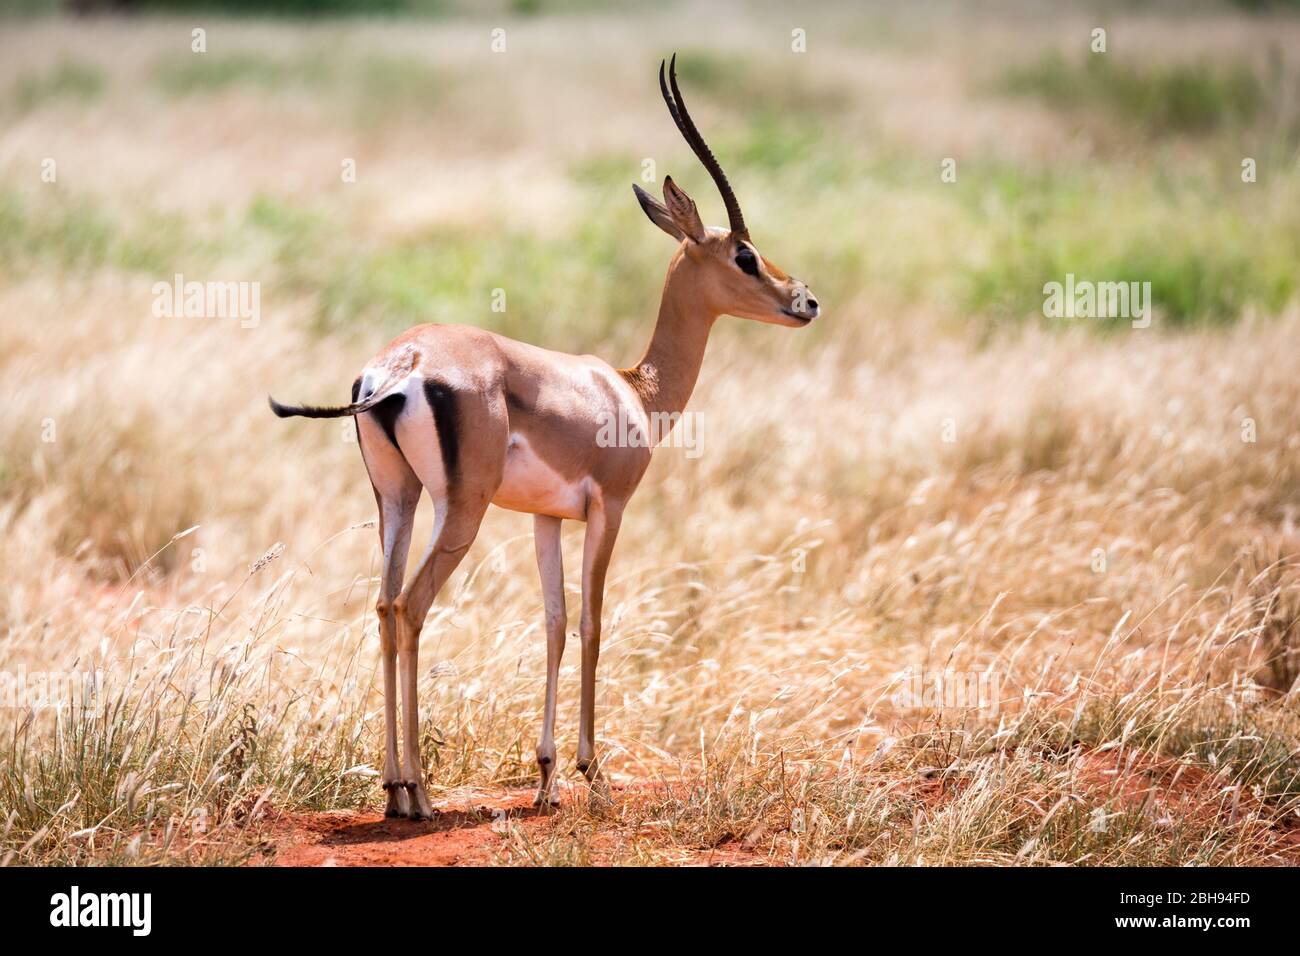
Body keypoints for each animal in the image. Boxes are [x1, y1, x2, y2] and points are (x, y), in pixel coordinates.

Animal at [269, 55, 819, 817]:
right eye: (744, 254)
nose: (806, 301)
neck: (633, 390)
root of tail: (401, 365)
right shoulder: (608, 510)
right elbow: (592, 623)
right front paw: (593, 774)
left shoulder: (545, 520)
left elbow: (554, 624)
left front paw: (547, 776)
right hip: (460, 512)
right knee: (411, 606)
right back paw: (420, 792)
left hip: (397, 501)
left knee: (382, 604)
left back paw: (391, 789)